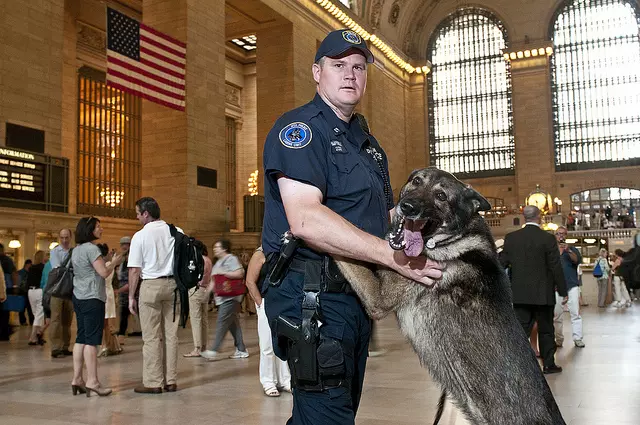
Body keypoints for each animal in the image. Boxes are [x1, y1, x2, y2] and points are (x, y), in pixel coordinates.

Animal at [336, 167, 564, 422]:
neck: (452, 237)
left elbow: (345, 254)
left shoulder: (378, 296)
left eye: (441, 196)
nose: (407, 207)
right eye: (417, 181)